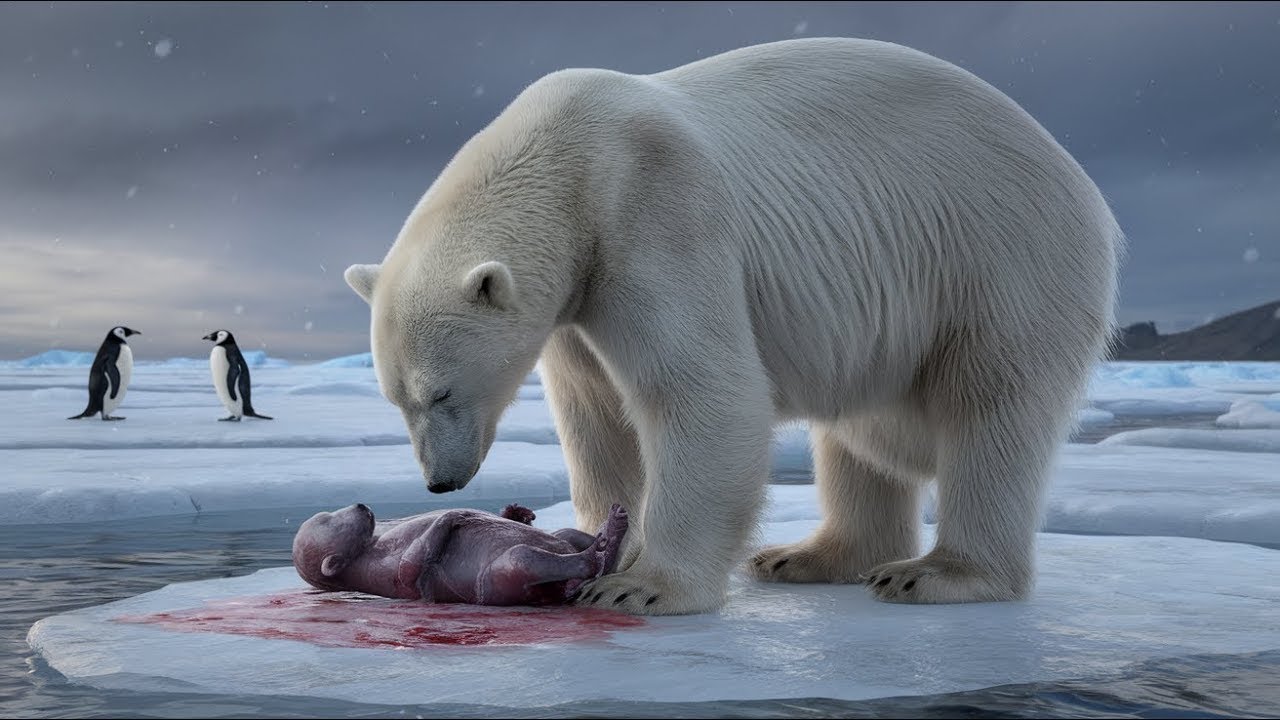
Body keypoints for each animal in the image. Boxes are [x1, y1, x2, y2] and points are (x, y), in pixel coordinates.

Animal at [344, 38, 1123, 616]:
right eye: (396, 399)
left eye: (442, 392)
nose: (440, 483)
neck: (568, 164)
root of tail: (1079, 180)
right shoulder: (576, 298)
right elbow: (595, 415)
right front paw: (592, 544)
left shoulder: (654, 213)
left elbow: (701, 393)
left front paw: (639, 586)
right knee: (857, 436)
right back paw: (808, 556)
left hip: (1000, 254)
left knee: (990, 407)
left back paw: (935, 572)